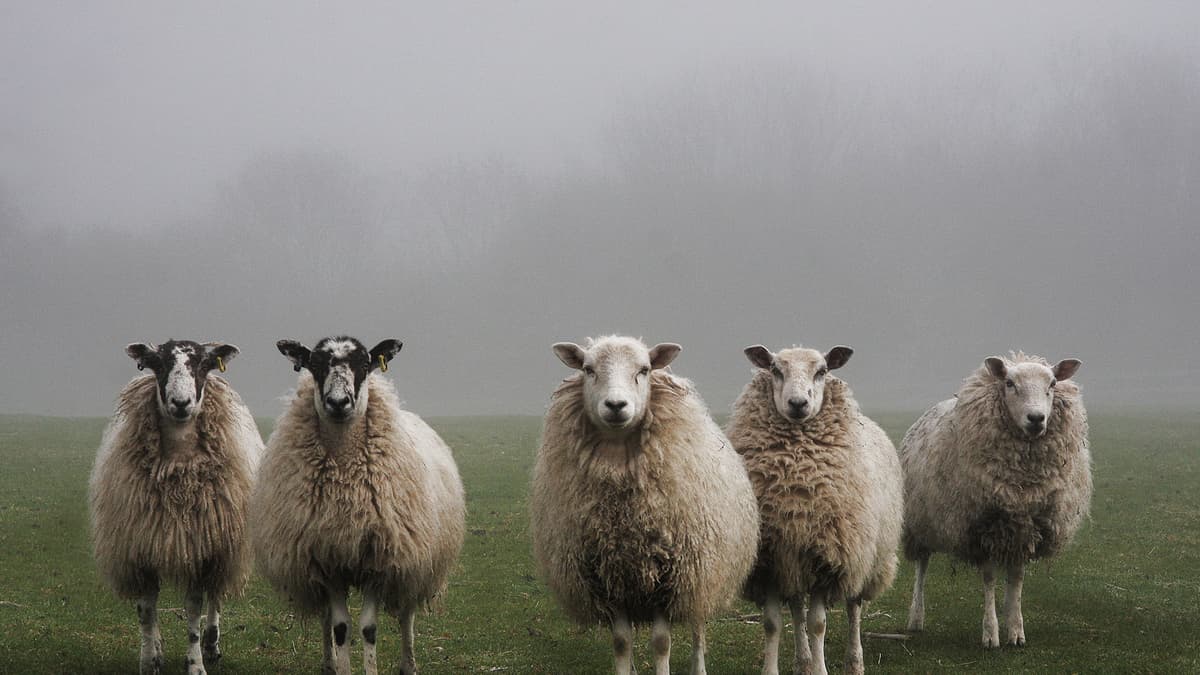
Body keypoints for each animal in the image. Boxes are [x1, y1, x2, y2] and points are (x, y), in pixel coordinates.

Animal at [89, 340, 261, 675]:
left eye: (203, 364)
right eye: (159, 364)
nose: (181, 403)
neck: (178, 466)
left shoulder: (201, 548)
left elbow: (194, 609)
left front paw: (195, 664)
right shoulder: (140, 546)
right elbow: (146, 609)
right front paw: (149, 660)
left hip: (224, 546)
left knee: (215, 596)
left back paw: (212, 644)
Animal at [251, 336, 466, 675]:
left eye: (365, 364)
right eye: (315, 364)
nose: (339, 403)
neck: (344, 474)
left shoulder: (380, 560)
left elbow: (368, 628)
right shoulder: (327, 561)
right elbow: (341, 628)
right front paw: (341, 666)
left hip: (415, 560)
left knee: (407, 613)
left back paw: (409, 664)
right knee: (327, 618)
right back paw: (329, 664)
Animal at [531, 336, 759, 675]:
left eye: (645, 369)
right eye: (588, 369)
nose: (615, 405)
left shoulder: (670, 579)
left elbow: (661, 643)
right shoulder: (608, 577)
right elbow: (621, 642)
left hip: (703, 572)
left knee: (698, 624)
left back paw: (699, 665)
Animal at [725, 345, 903, 675]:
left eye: (822, 371)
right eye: (775, 369)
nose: (798, 403)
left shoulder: (828, 558)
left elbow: (818, 624)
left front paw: (822, 669)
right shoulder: (771, 561)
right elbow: (772, 624)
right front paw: (775, 669)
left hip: (864, 557)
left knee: (854, 607)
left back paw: (854, 662)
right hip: (794, 563)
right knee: (797, 608)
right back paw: (803, 661)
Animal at [900, 351, 1091, 648]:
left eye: (1052, 383)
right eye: (1010, 383)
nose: (1036, 418)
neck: (1023, 481)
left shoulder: (1025, 529)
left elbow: (1017, 578)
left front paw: (1015, 628)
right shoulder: (982, 527)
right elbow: (989, 578)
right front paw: (991, 633)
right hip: (920, 520)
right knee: (922, 565)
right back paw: (916, 618)